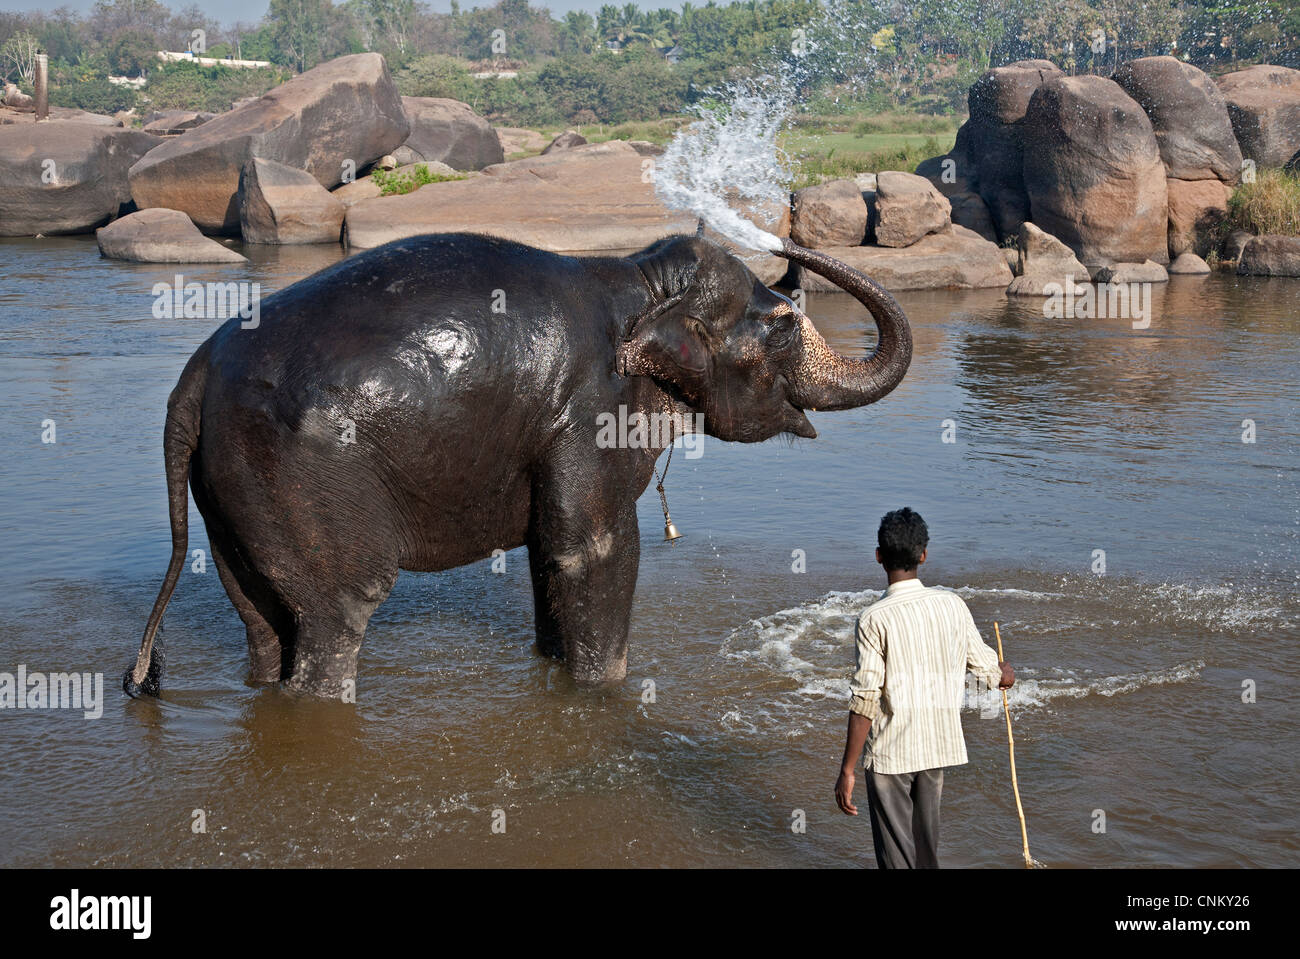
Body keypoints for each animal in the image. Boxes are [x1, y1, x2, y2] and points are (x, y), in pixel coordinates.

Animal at [125, 230, 911, 698]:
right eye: (780, 328)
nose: (789, 239)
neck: (640, 278)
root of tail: (194, 377)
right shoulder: (590, 412)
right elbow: (593, 549)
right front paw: (603, 694)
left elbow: (547, 553)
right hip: (297, 478)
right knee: (336, 618)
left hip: (229, 492)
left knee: (262, 621)